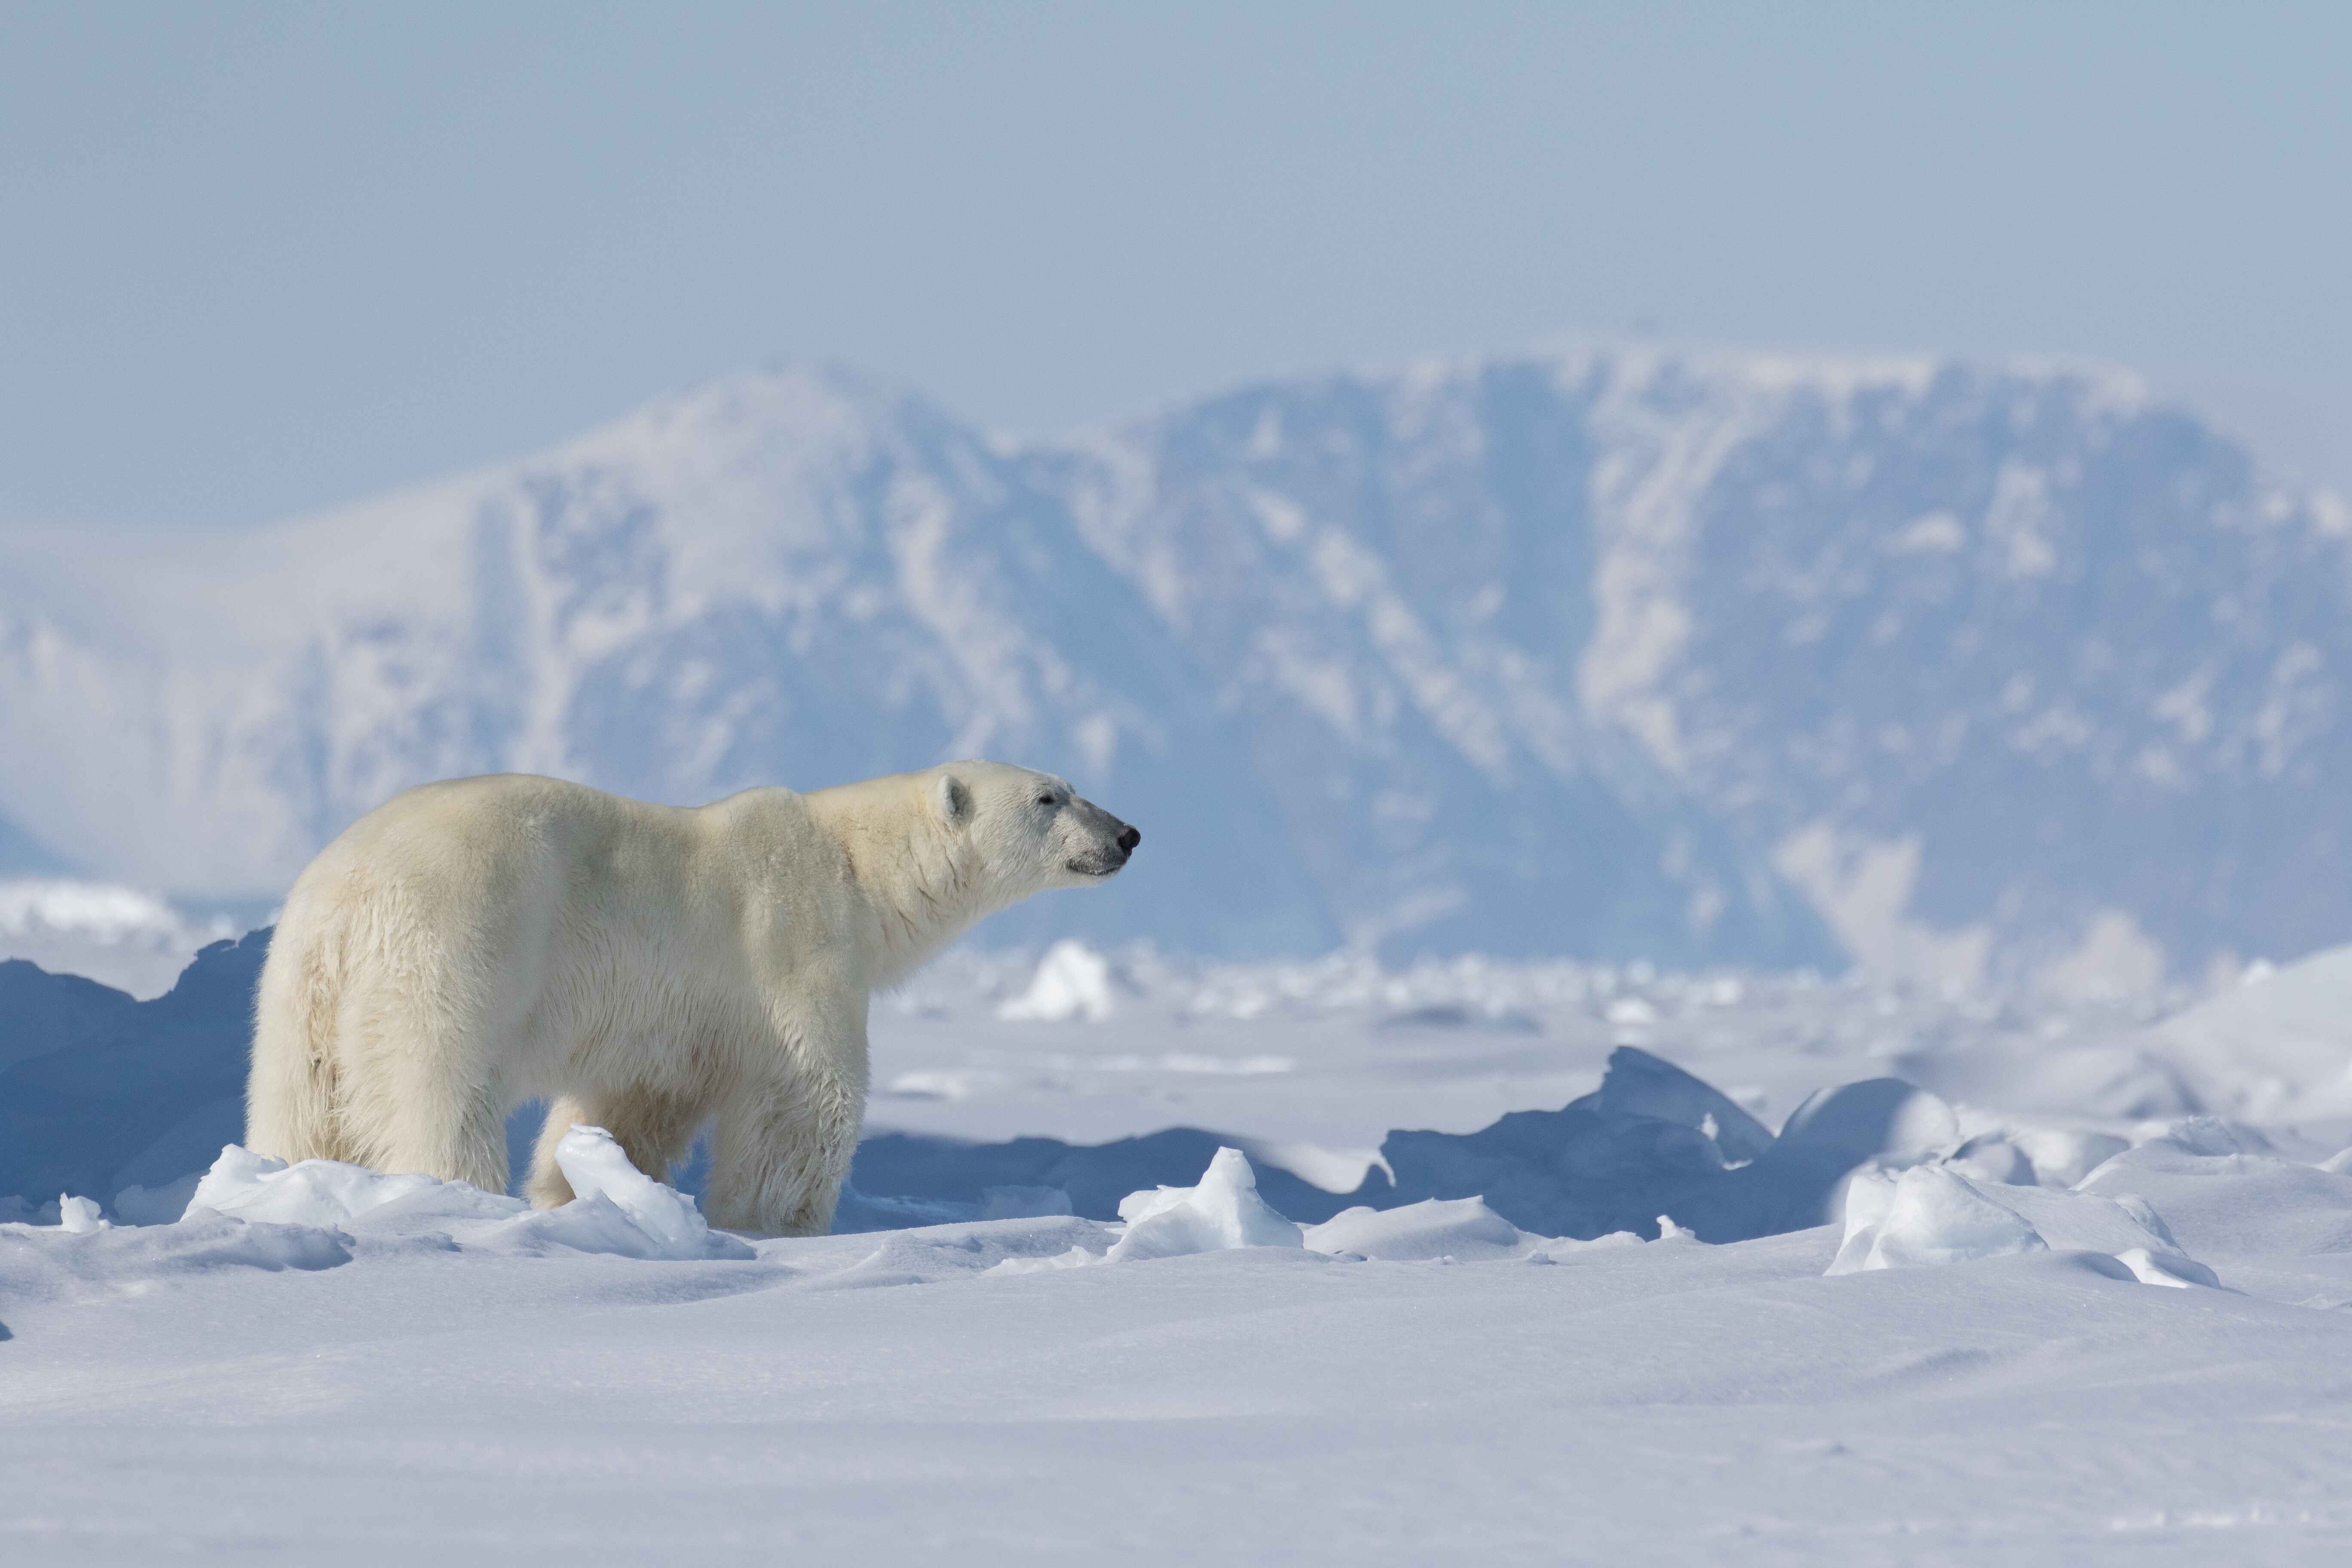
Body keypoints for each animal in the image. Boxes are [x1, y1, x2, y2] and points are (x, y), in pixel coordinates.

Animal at [244, 762, 1139, 1236]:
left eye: (1069, 786)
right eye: (1049, 796)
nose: (1127, 833)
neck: (855, 869)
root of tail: (346, 897)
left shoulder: (671, 1021)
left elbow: (633, 1104)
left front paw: (581, 1188)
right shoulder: (791, 947)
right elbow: (807, 1101)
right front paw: (775, 1223)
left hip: (296, 992)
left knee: (300, 1103)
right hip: (451, 952)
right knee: (437, 1093)